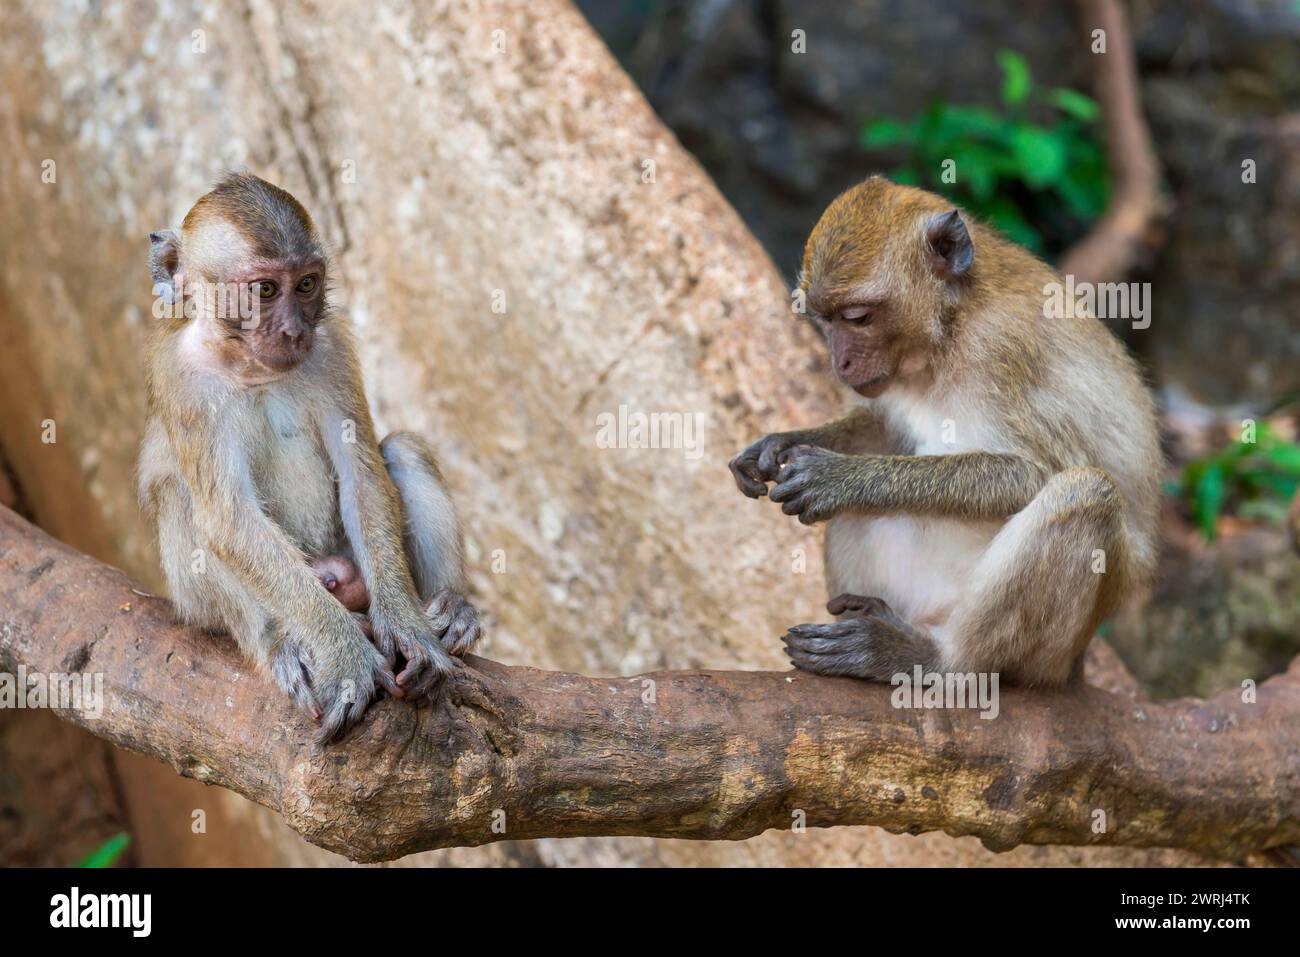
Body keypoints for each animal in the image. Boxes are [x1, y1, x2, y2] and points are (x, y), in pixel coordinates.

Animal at [138, 172, 480, 743]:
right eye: (265, 290)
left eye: (307, 284)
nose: (294, 331)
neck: (250, 367)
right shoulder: (182, 382)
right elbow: (228, 520)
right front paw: (344, 655)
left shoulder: (331, 349)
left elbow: (363, 475)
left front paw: (407, 626)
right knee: (182, 498)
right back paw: (283, 643)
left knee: (402, 451)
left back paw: (450, 607)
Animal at [729, 176, 1161, 688]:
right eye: (824, 318)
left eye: (857, 317)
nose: (840, 363)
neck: (949, 327)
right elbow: (886, 430)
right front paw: (779, 446)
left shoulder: (1003, 348)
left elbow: (1039, 473)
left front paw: (837, 478)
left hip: (1049, 655)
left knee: (1086, 492)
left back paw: (932, 659)